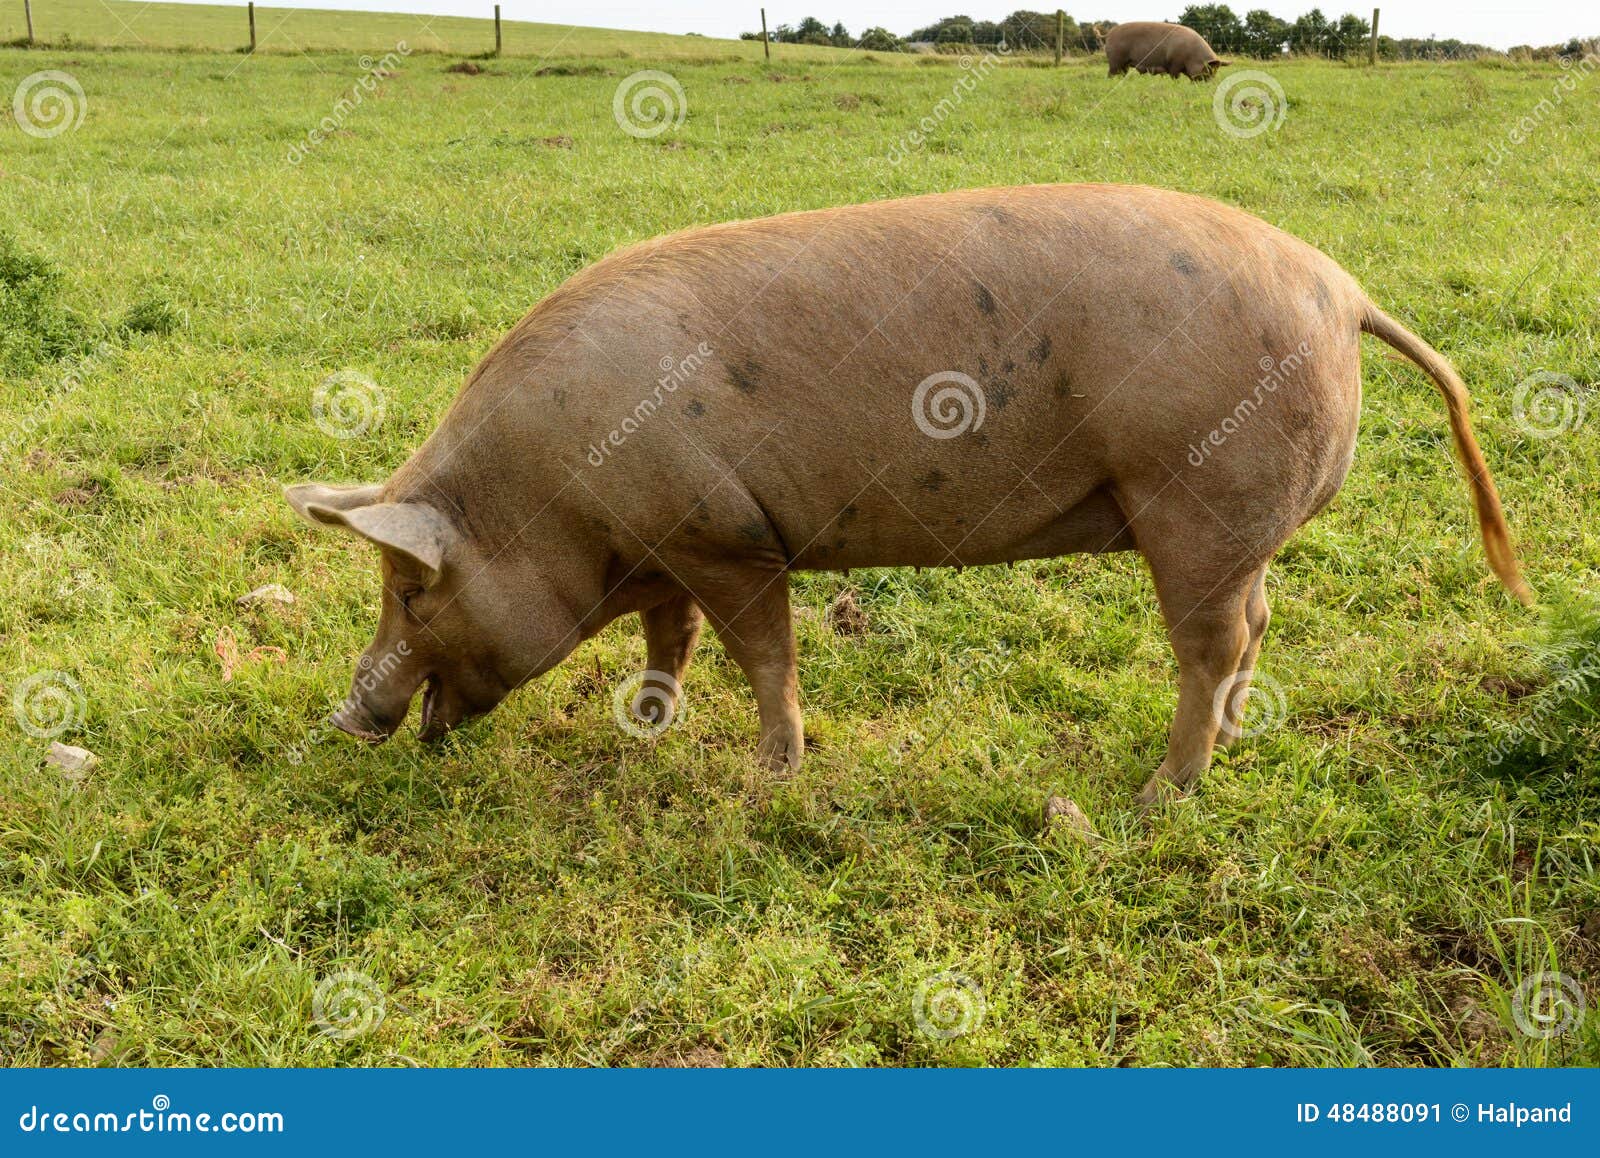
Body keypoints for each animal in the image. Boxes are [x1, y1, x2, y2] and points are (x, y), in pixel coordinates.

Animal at [286, 184, 1530, 808]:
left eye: (410, 589)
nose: (345, 716)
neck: (555, 504)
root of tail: (1344, 290)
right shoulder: (667, 543)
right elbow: (668, 639)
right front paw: (644, 728)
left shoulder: (728, 536)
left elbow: (762, 656)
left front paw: (767, 779)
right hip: (1235, 523)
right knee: (1258, 624)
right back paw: (1219, 751)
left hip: (1194, 495)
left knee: (1212, 643)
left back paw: (1159, 794)